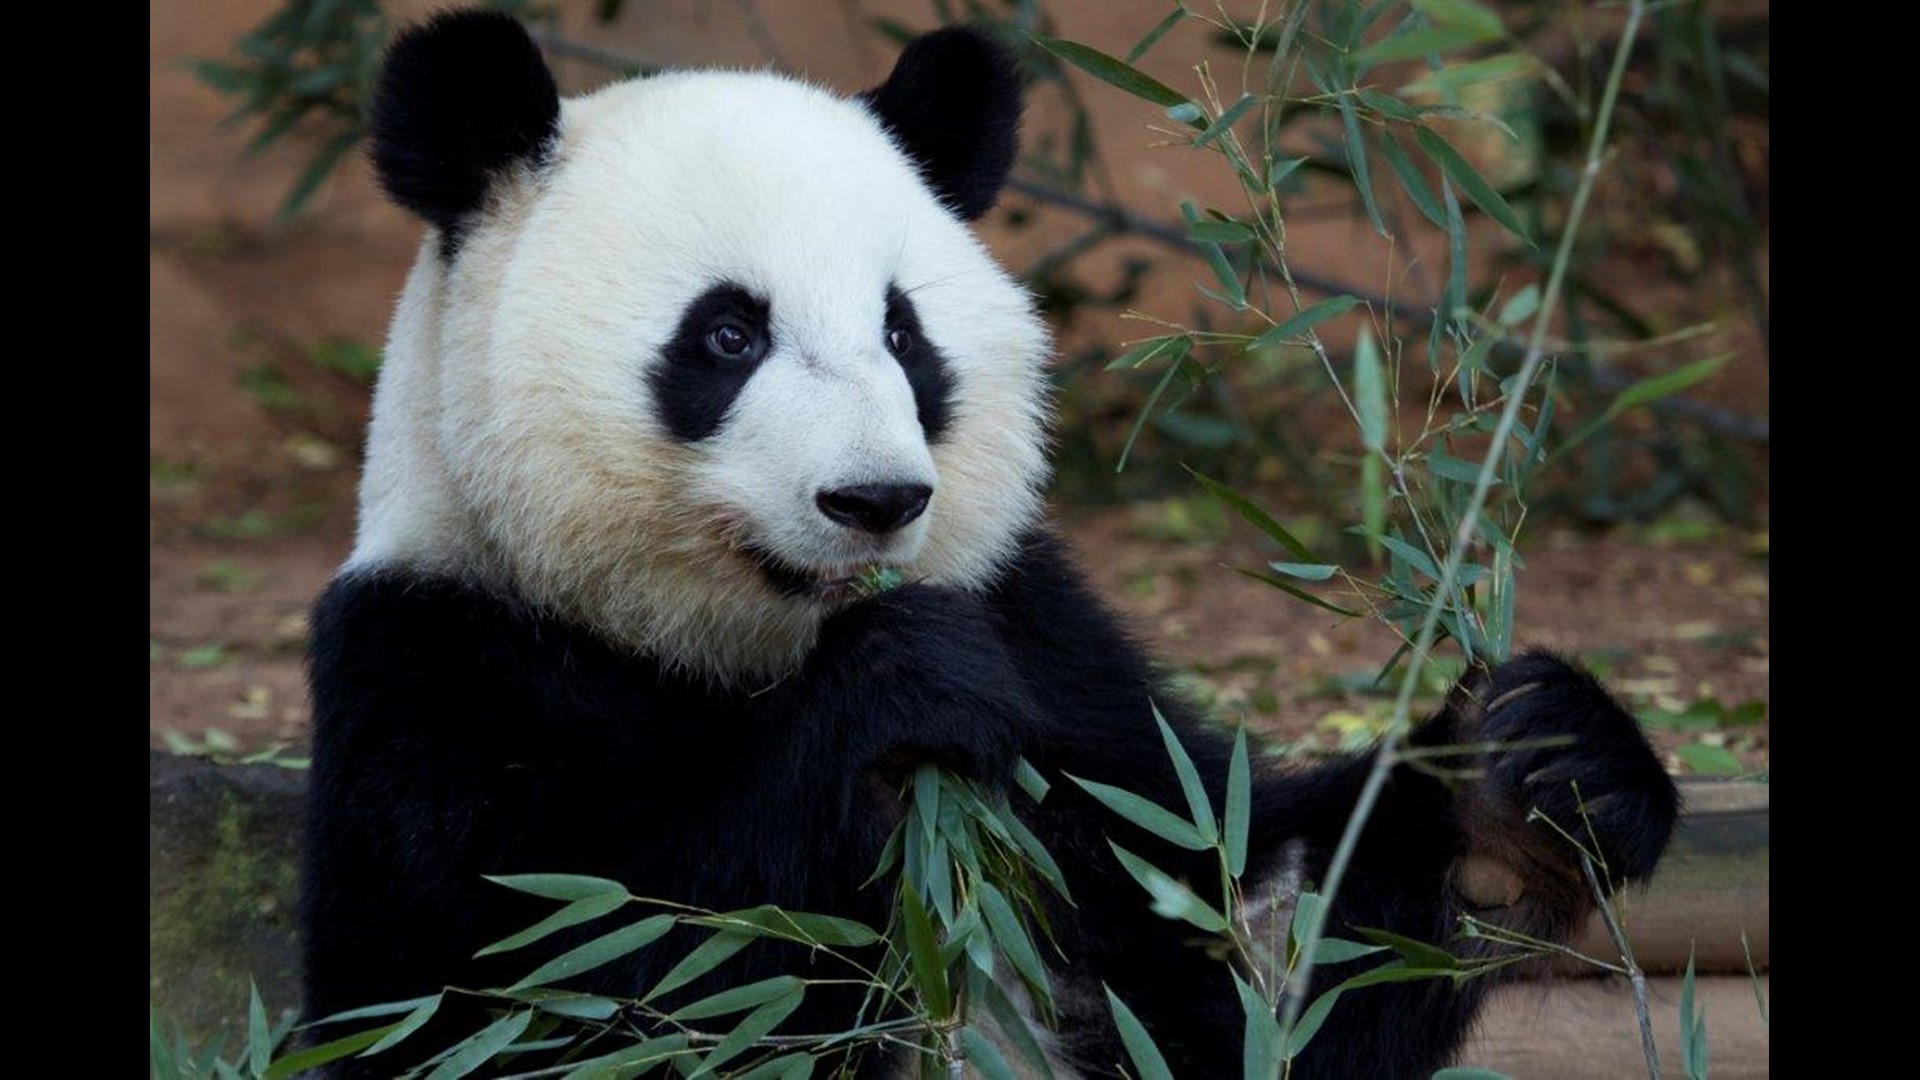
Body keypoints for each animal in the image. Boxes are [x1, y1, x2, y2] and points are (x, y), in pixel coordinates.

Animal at [302, 10, 1679, 1078]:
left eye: (904, 335)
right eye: (728, 336)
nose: (874, 501)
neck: (740, 649)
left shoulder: (1055, 651)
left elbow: (1240, 932)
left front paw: (1525, 787)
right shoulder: (440, 668)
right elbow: (541, 994)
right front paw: (897, 693)